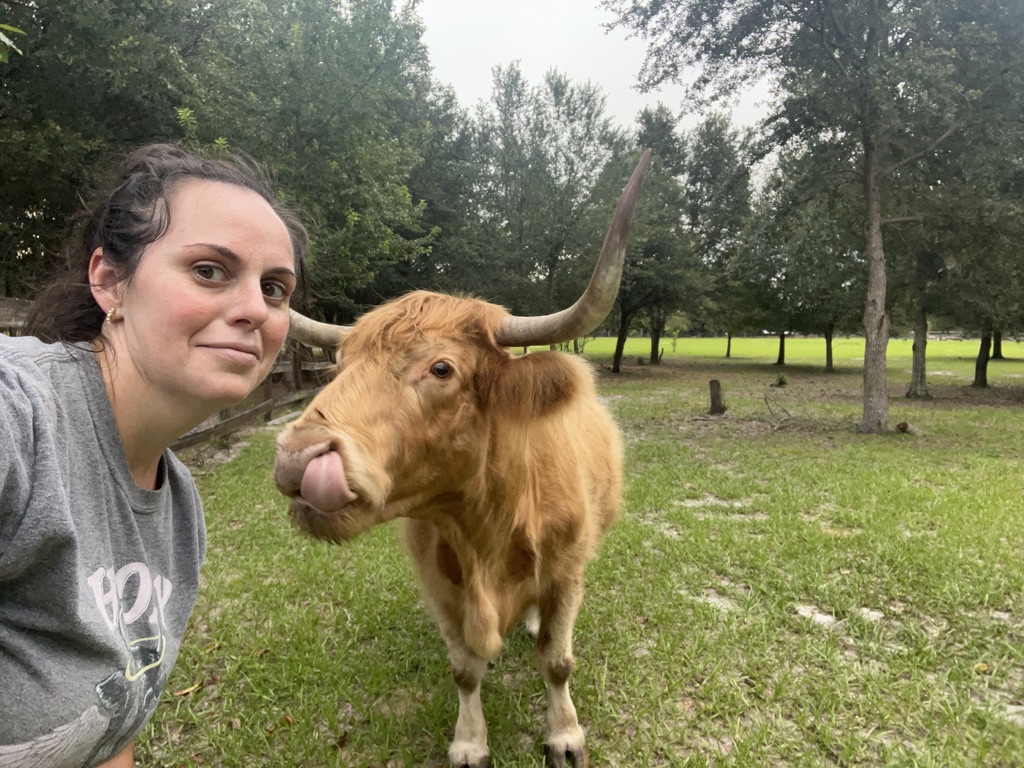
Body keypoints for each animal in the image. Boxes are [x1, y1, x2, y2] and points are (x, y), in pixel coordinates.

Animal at [273, 151, 651, 768]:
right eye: (341, 364)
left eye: (441, 368)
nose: (299, 456)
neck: (487, 529)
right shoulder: (439, 586)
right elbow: (465, 670)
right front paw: (471, 740)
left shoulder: (567, 571)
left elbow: (558, 661)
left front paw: (565, 733)